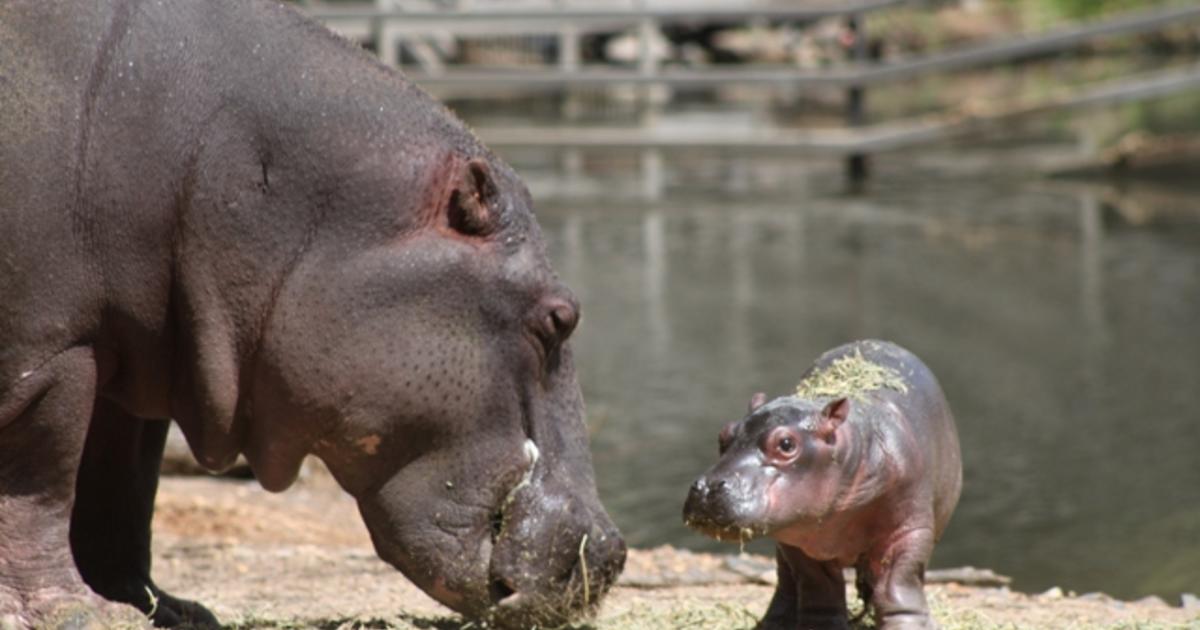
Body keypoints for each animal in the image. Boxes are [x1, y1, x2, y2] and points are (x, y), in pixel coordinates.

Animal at [0, 1, 624, 627]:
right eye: (558, 319)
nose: (611, 550)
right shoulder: (46, 355)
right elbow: (39, 482)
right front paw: (75, 613)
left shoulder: (134, 350)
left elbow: (122, 489)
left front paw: (166, 610)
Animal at [683, 340, 961, 629]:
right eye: (723, 434)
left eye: (786, 444)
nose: (706, 488)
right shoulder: (798, 535)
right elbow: (819, 587)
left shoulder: (909, 529)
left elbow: (897, 586)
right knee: (786, 582)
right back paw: (773, 623)